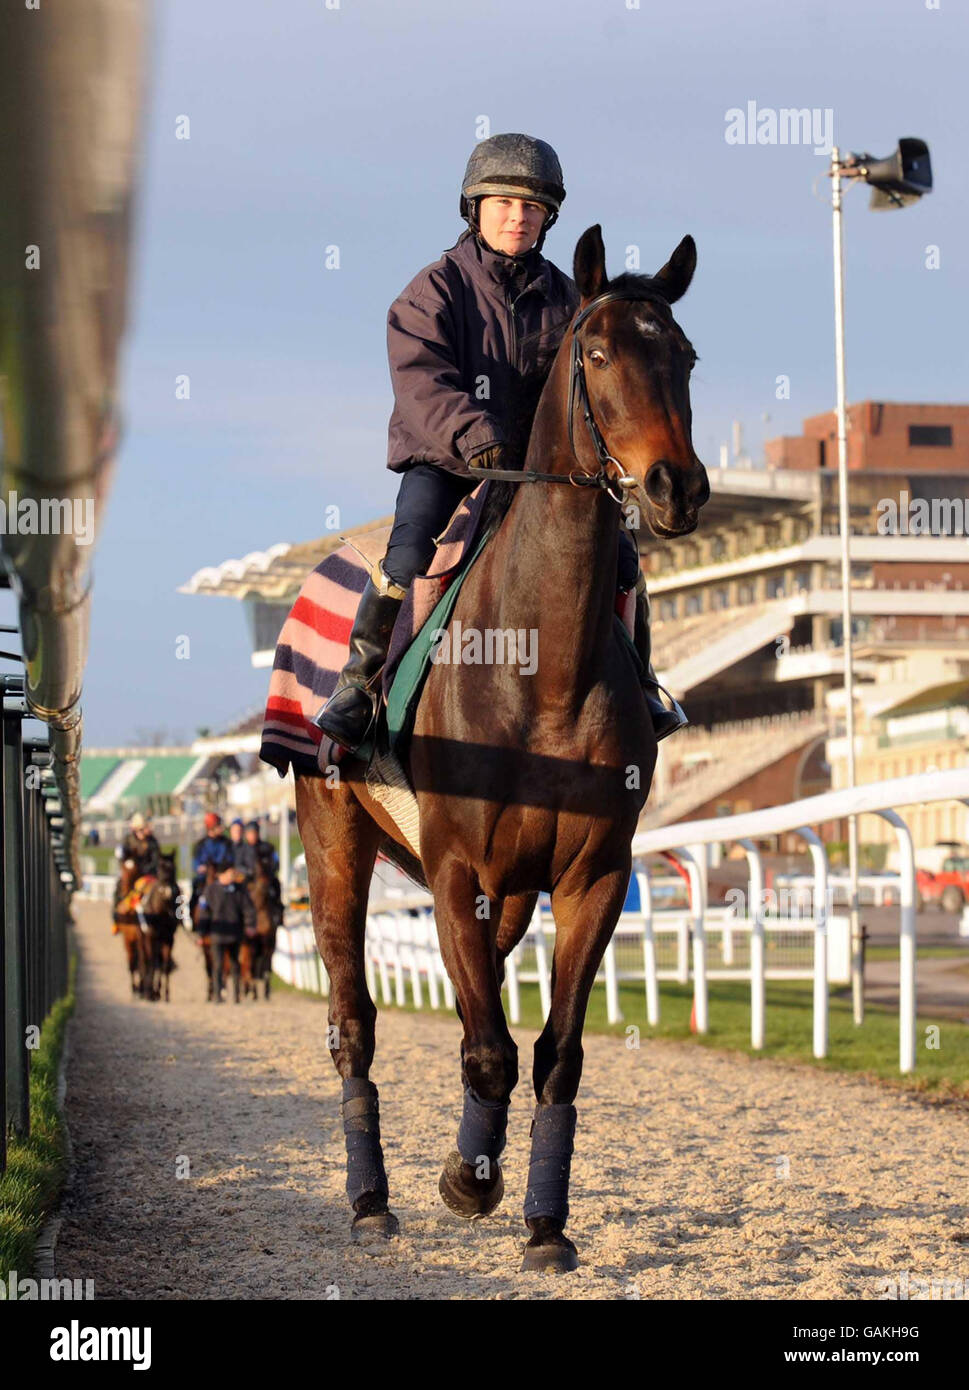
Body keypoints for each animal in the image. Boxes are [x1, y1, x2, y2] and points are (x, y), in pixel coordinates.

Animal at [140, 852, 179, 1002]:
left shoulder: (169, 939)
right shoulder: (151, 937)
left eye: (174, 870)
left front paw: (165, 994)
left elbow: (165, 965)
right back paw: (145, 990)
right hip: (142, 938)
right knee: (145, 960)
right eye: (160, 870)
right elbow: (151, 962)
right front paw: (150, 992)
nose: (168, 892)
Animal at [294, 226, 709, 1271]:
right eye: (595, 354)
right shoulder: (454, 868)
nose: (676, 486)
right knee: (353, 1022)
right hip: (333, 843)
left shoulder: (592, 873)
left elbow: (552, 1054)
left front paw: (542, 1223)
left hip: (514, 895)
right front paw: (463, 1183)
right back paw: (371, 1201)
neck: (539, 669)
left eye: (684, 356)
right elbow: (488, 1049)